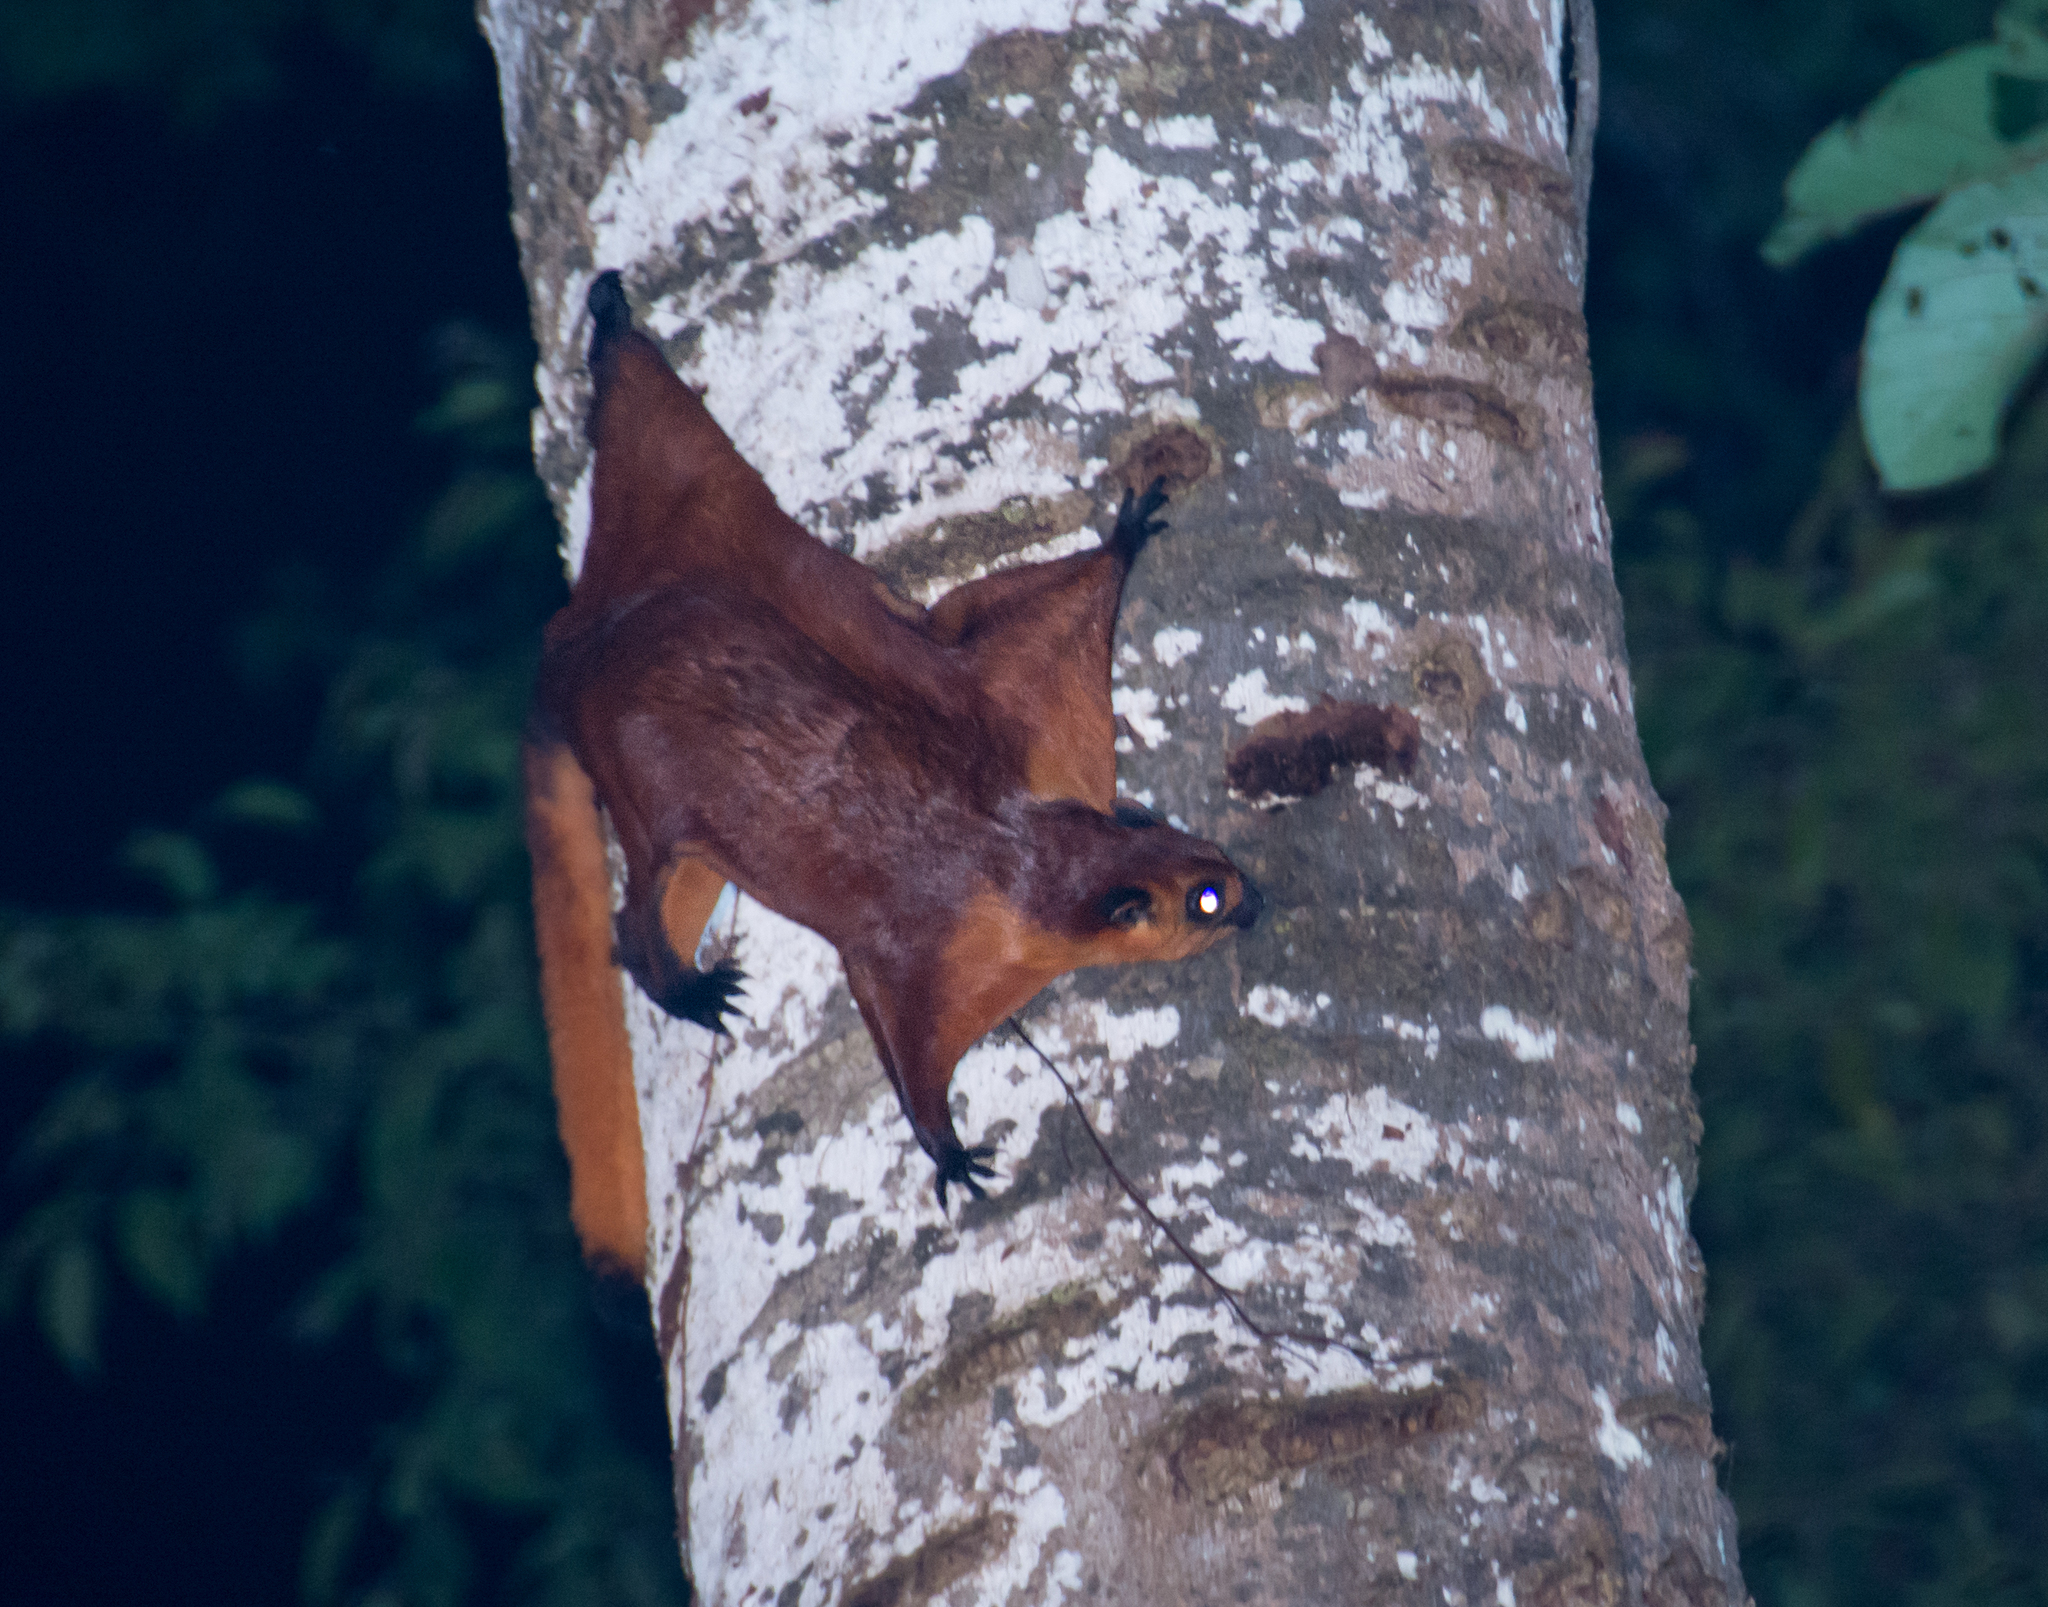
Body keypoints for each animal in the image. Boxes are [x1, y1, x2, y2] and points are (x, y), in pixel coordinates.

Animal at [525, 271, 1261, 1274]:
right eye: (1208, 901)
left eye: (1217, 862)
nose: (1259, 901)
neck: (1024, 853)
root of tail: (577, 650)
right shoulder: (932, 955)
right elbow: (914, 1057)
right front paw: (950, 1152)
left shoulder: (1010, 710)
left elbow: (1075, 594)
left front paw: (1131, 529)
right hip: (655, 809)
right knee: (637, 922)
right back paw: (690, 985)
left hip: (713, 519)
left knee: (650, 404)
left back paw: (610, 321)